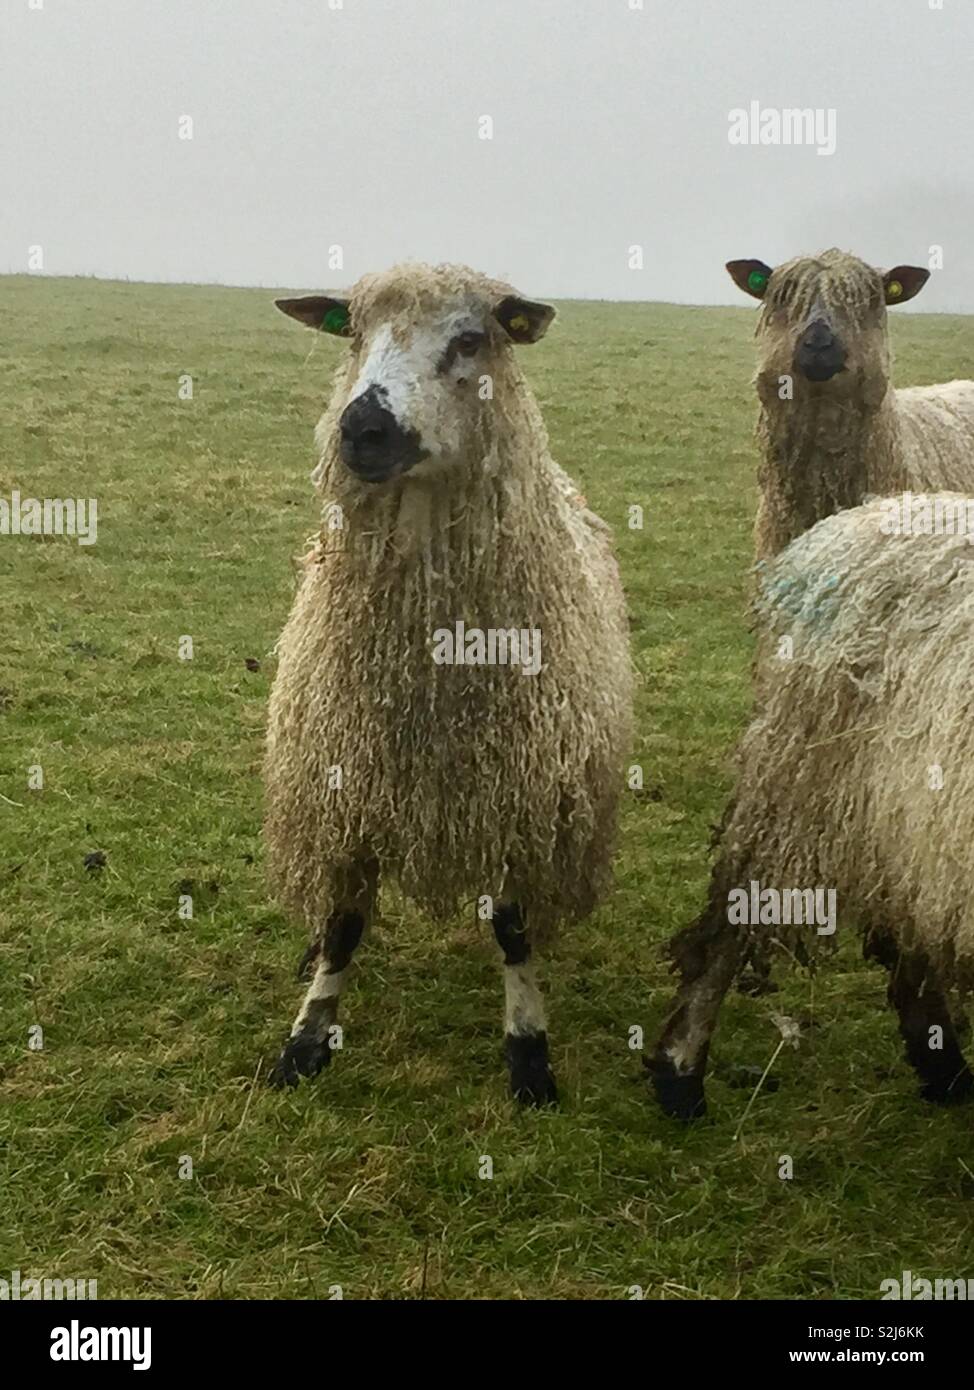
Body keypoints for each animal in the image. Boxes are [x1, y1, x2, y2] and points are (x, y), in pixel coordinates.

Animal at [264, 261, 633, 1105]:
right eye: (354, 331)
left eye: (471, 339)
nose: (361, 429)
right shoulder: (345, 787)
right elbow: (343, 921)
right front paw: (308, 1035)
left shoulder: (521, 798)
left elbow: (513, 926)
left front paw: (528, 1050)